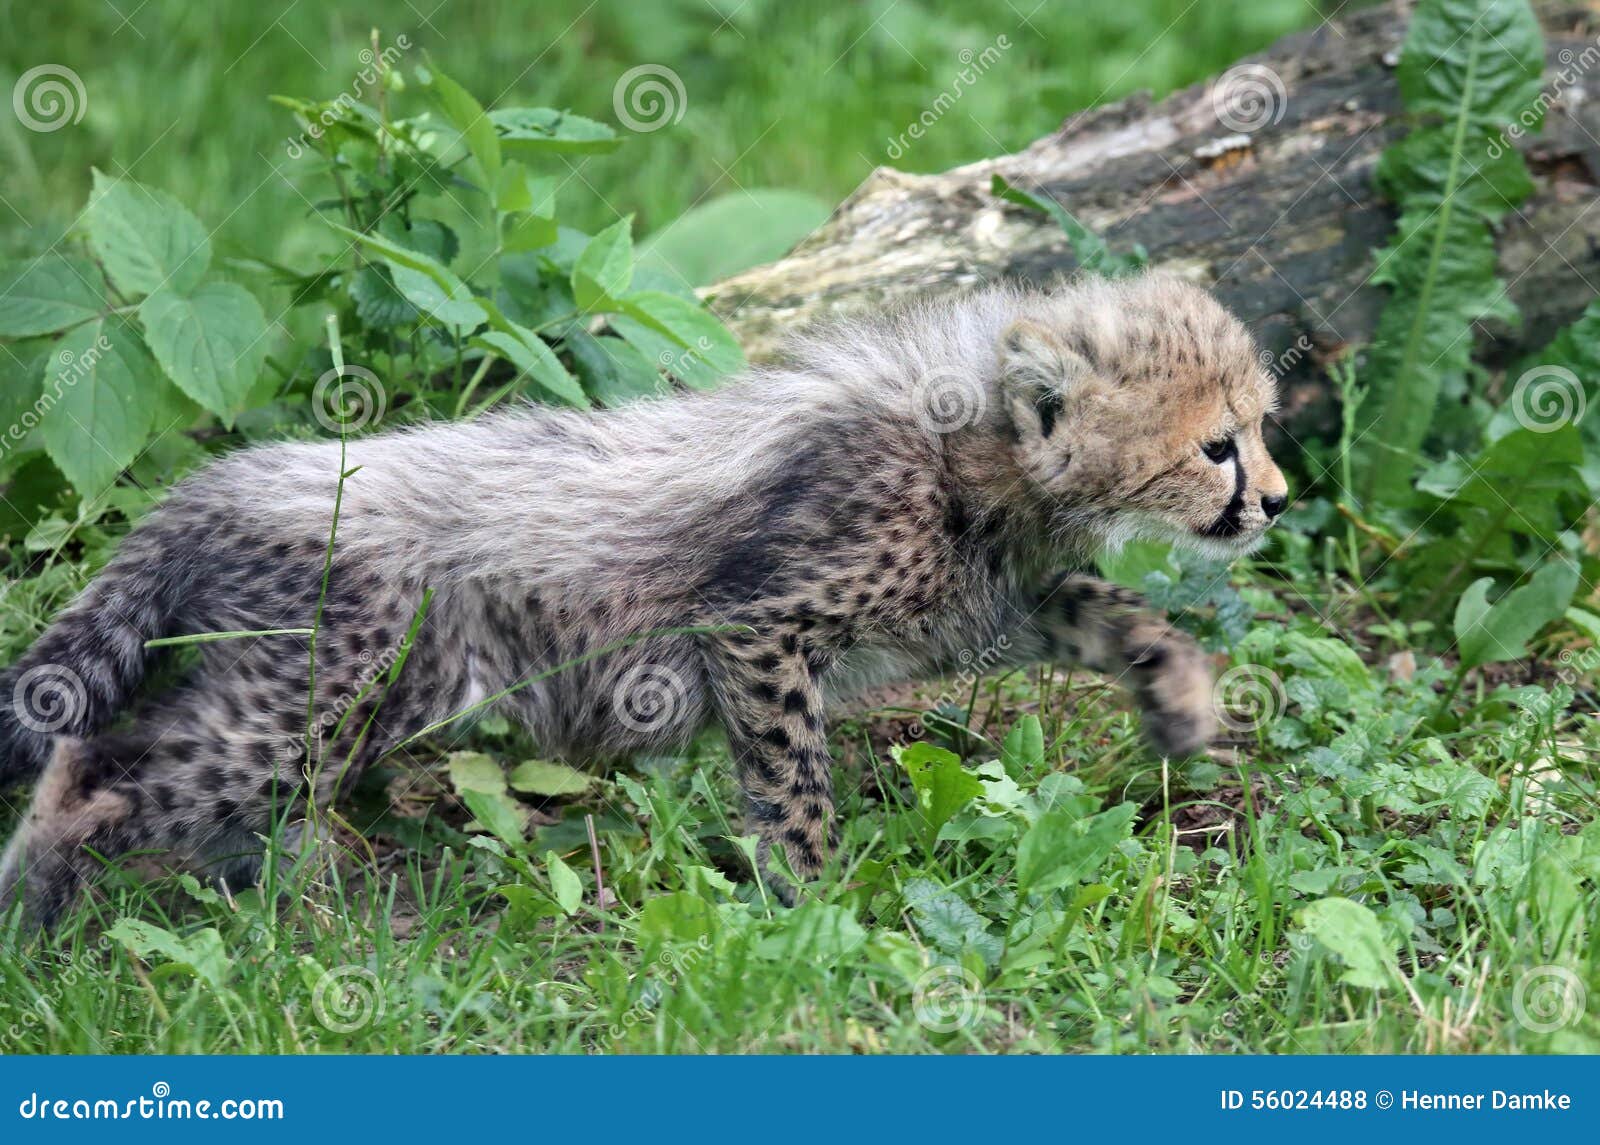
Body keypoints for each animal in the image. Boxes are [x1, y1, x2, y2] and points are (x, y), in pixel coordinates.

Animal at [0, 270, 1287, 928]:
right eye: (1216, 445)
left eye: (1258, 426)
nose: (1273, 500)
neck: (977, 447)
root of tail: (224, 475)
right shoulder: (761, 625)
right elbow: (793, 777)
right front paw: (813, 902)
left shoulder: (979, 601)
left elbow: (1095, 601)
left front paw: (1178, 694)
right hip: (319, 692)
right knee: (101, 769)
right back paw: (39, 905)